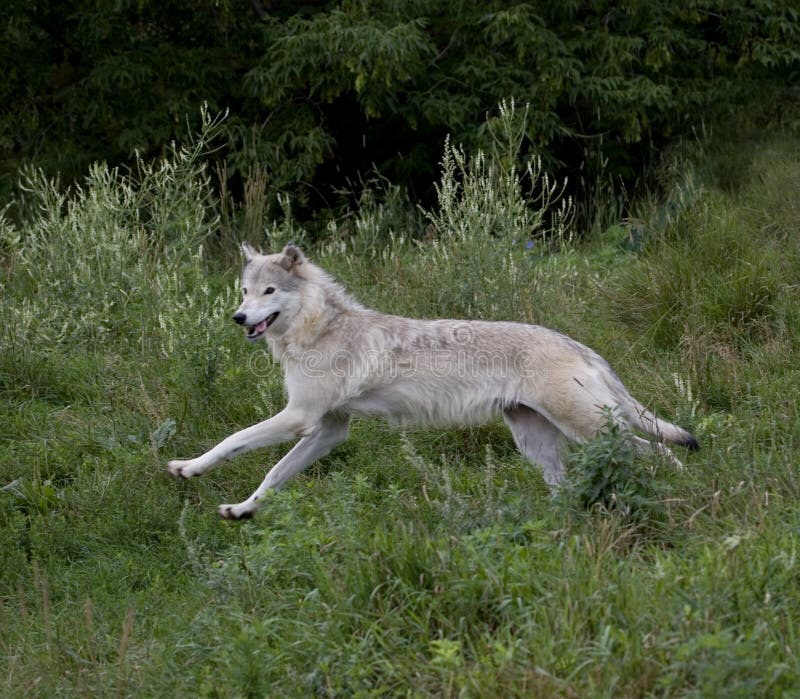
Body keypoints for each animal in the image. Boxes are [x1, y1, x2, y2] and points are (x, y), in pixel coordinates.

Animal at [168, 243, 698, 519]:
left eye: (270, 291)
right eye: (244, 291)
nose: (238, 318)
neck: (319, 329)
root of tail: (580, 345)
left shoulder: (298, 418)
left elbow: (232, 441)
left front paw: (188, 467)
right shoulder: (328, 430)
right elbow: (274, 476)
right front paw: (242, 510)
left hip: (591, 431)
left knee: (666, 453)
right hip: (539, 446)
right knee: (568, 487)